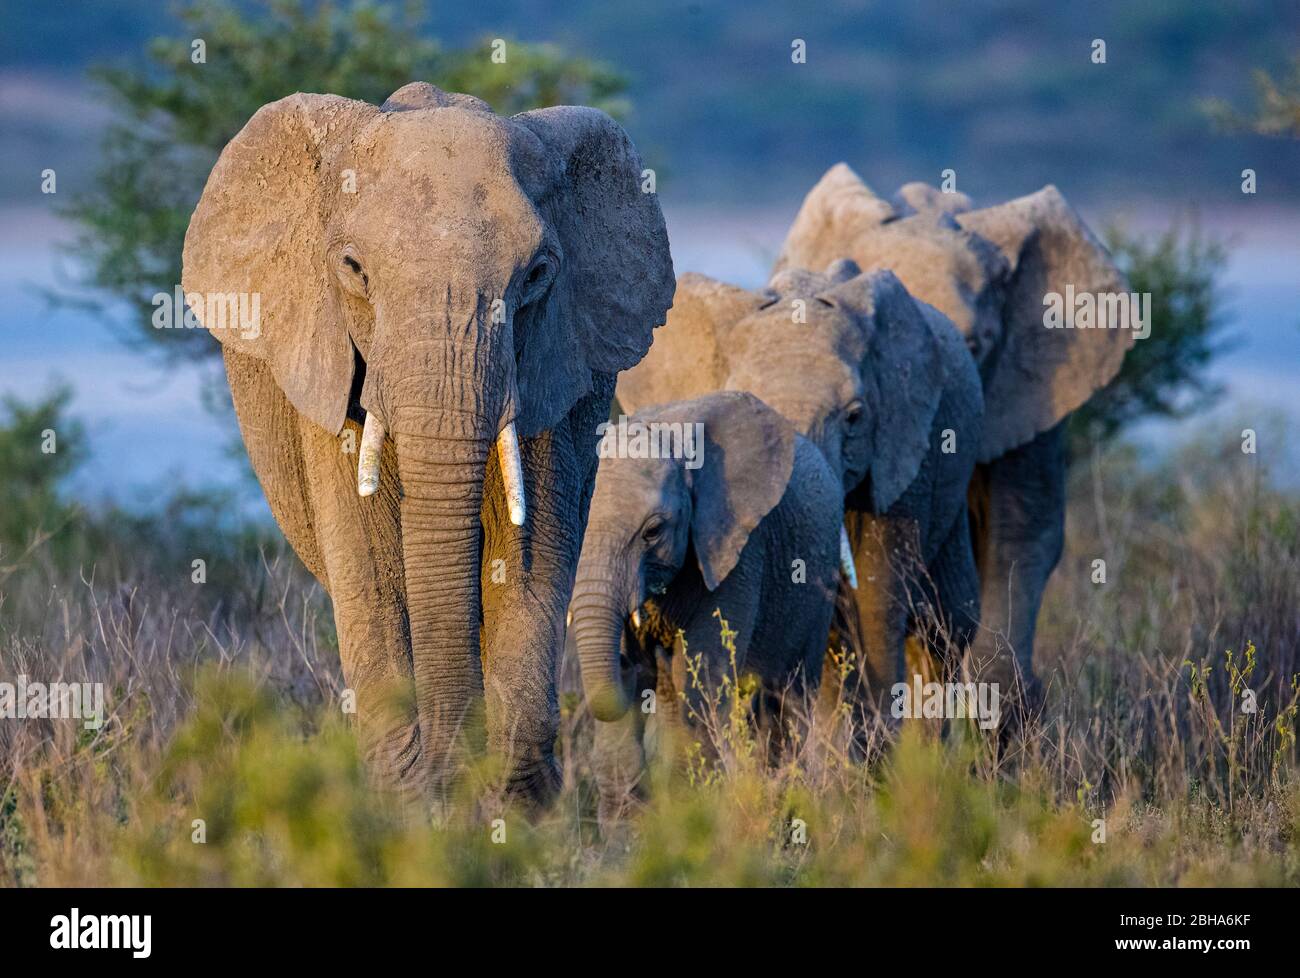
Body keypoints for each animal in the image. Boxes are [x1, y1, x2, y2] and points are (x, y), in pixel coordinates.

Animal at [181, 82, 674, 805]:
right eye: (354, 270)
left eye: (537, 274)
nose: (453, 769)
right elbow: (371, 565)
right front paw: (413, 802)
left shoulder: (560, 370)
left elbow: (531, 559)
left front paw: (511, 802)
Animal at [570, 391, 843, 821]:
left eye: (653, 531)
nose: (625, 660)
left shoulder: (739, 552)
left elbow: (701, 683)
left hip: (819, 584)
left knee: (789, 696)